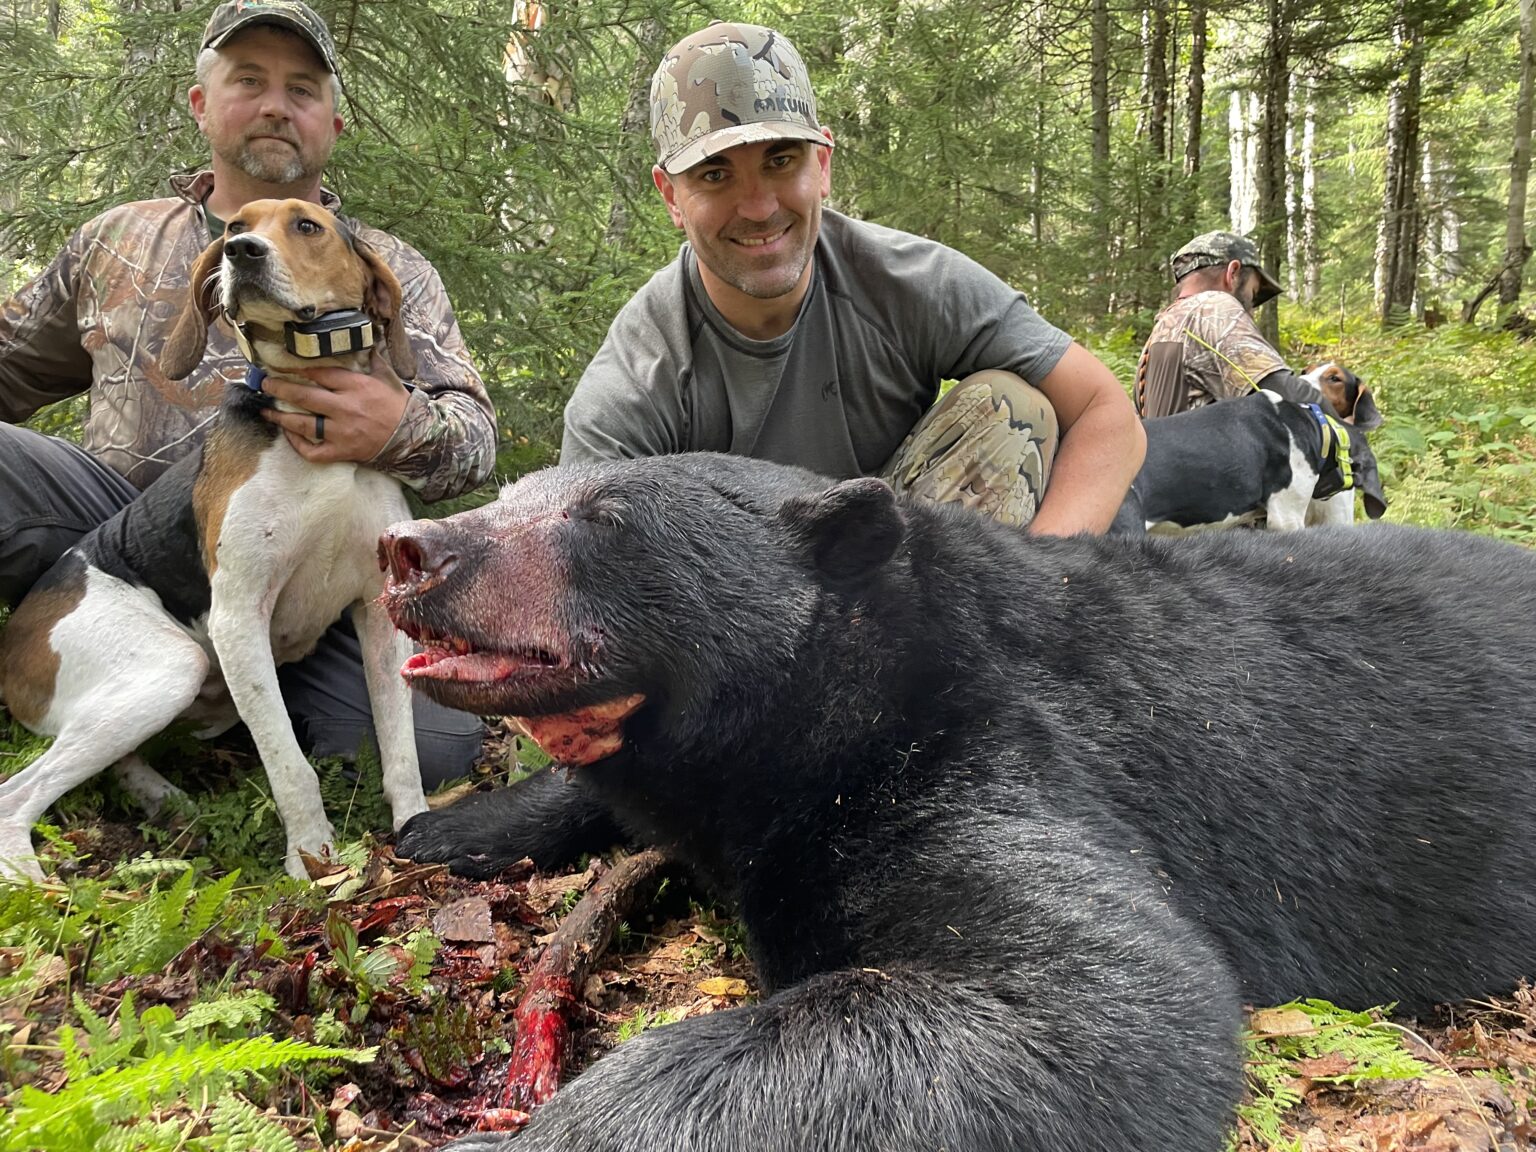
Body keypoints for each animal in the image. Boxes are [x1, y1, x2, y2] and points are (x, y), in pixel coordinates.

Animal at [379, 452, 1536, 1152]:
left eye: (605, 518)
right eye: (516, 491)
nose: (414, 551)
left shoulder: (986, 752)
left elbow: (1110, 1000)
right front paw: (444, 826)